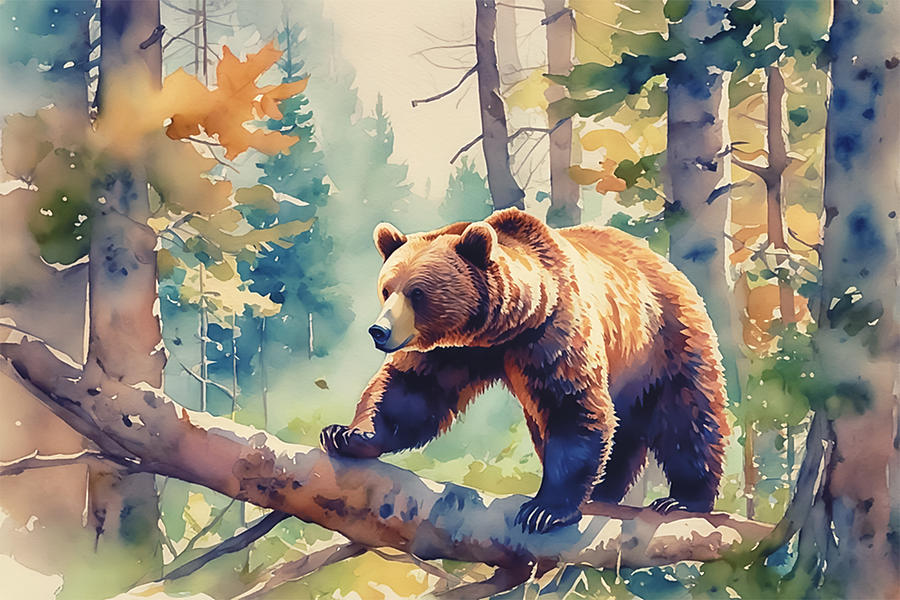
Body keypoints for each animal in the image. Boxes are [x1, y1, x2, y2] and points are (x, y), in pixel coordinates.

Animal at [321, 208, 729, 534]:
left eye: (417, 293)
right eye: (387, 288)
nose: (379, 331)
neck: (502, 329)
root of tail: (662, 262)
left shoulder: (552, 333)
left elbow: (573, 407)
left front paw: (545, 510)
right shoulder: (452, 352)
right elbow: (411, 392)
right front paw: (347, 434)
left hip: (664, 340)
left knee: (687, 415)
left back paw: (683, 499)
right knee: (624, 428)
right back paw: (605, 491)